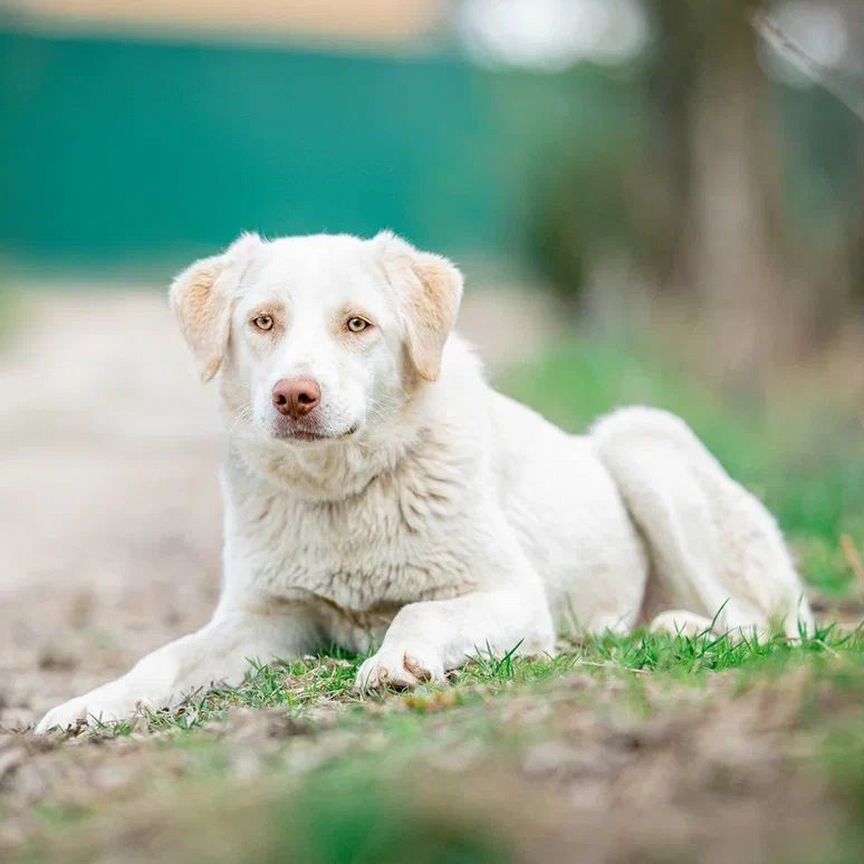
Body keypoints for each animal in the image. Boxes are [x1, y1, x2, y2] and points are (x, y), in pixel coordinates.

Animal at [37, 233, 812, 732]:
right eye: (262, 322)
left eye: (358, 325)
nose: (294, 396)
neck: (342, 497)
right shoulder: (266, 616)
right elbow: (163, 658)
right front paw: (92, 704)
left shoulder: (512, 595)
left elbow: (420, 611)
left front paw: (397, 660)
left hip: (640, 439)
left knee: (766, 622)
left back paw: (677, 624)